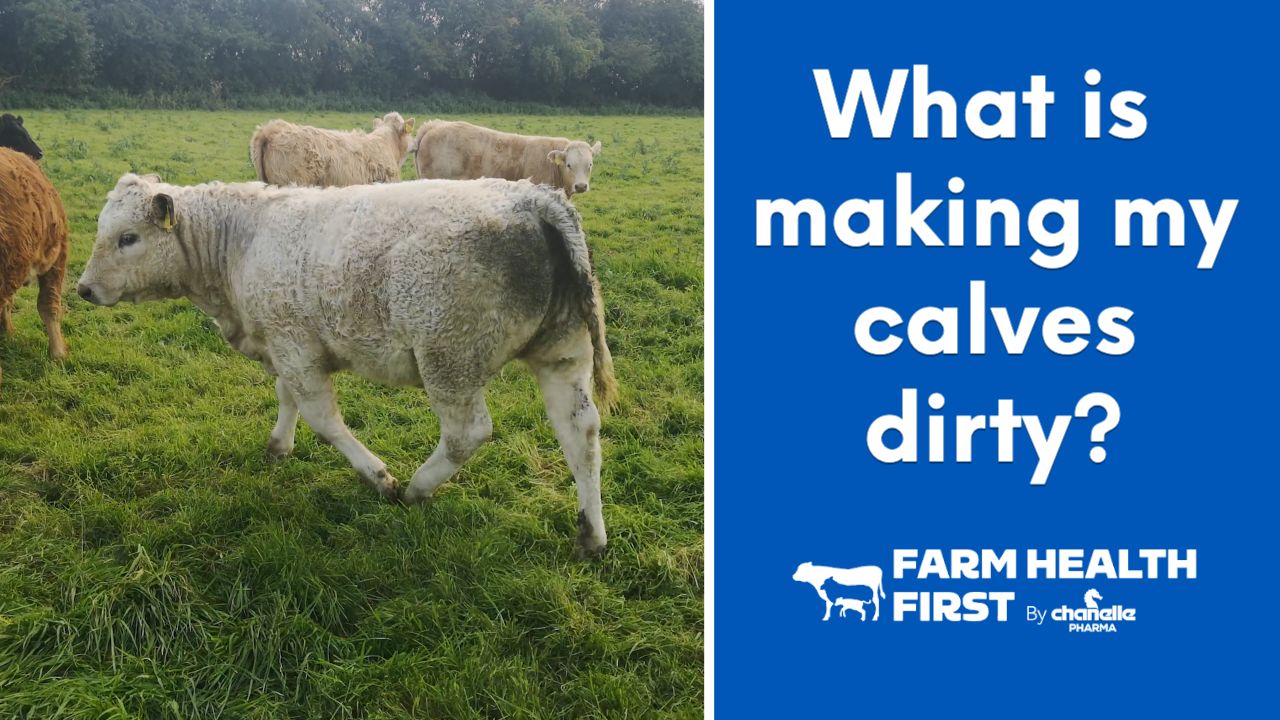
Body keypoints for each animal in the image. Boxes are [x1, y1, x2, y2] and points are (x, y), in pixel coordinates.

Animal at [76, 174, 618, 557]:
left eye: (128, 238)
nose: (82, 289)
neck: (240, 243)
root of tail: (535, 198)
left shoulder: (295, 346)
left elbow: (324, 419)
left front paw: (379, 477)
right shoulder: (284, 346)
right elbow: (287, 397)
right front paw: (279, 445)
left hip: (450, 358)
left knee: (468, 434)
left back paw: (417, 489)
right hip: (563, 353)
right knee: (581, 432)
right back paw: (591, 533)